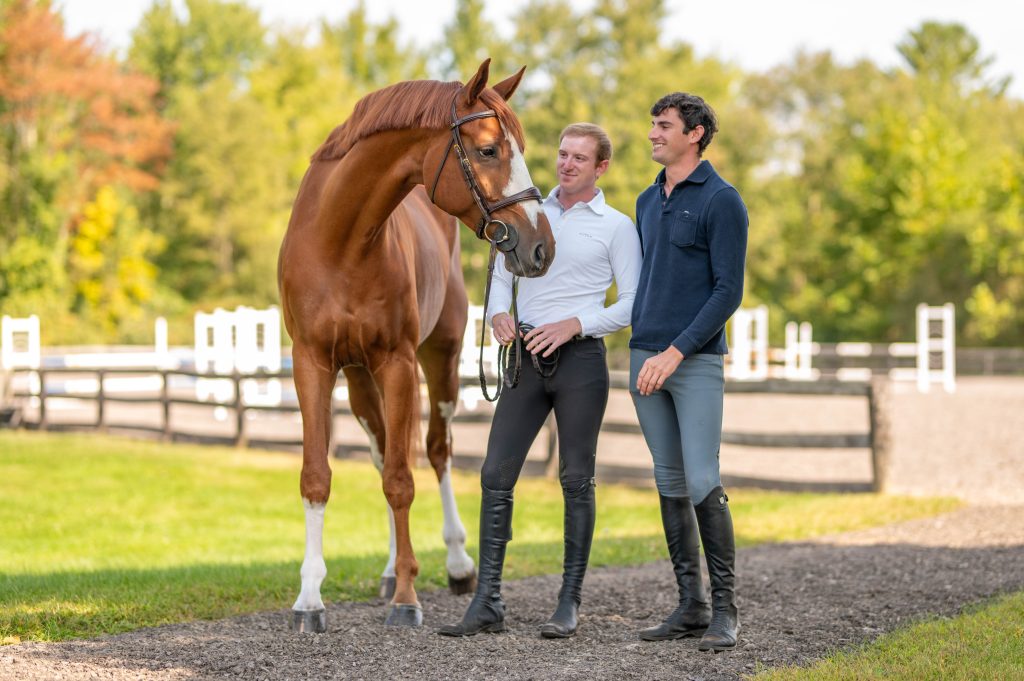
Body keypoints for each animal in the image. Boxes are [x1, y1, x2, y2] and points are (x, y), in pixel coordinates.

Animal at [278, 59, 556, 630]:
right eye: (489, 150)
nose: (542, 246)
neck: (340, 243)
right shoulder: (311, 363)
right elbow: (319, 476)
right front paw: (309, 599)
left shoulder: (399, 362)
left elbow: (402, 480)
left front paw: (408, 598)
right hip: (360, 380)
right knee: (385, 449)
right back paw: (388, 571)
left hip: (439, 362)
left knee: (435, 452)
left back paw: (456, 564)